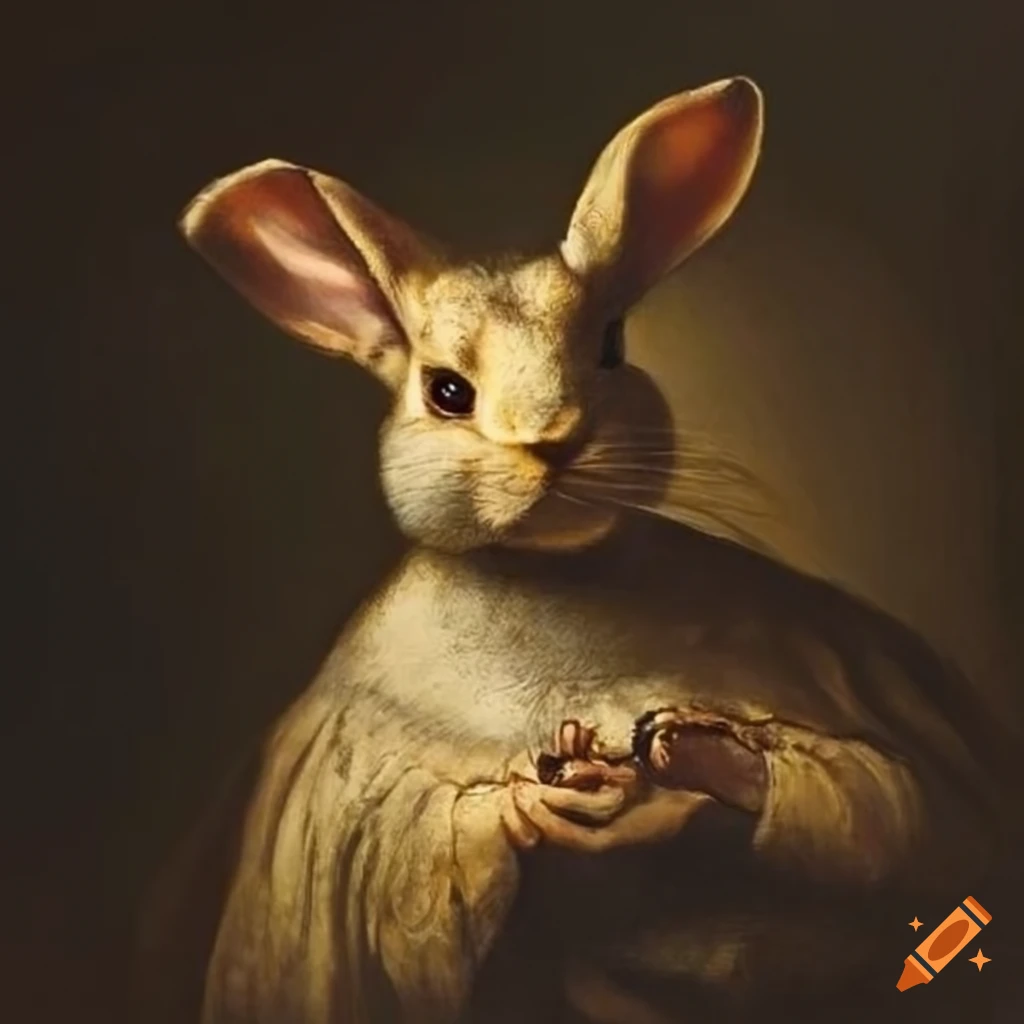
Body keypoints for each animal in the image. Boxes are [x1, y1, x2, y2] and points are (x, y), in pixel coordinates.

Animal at [164, 77, 1011, 1024]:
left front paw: (693, 754)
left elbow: (901, 806)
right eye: (446, 391)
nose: (552, 442)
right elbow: (415, 885)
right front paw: (544, 790)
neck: (547, 574)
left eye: (609, 347)